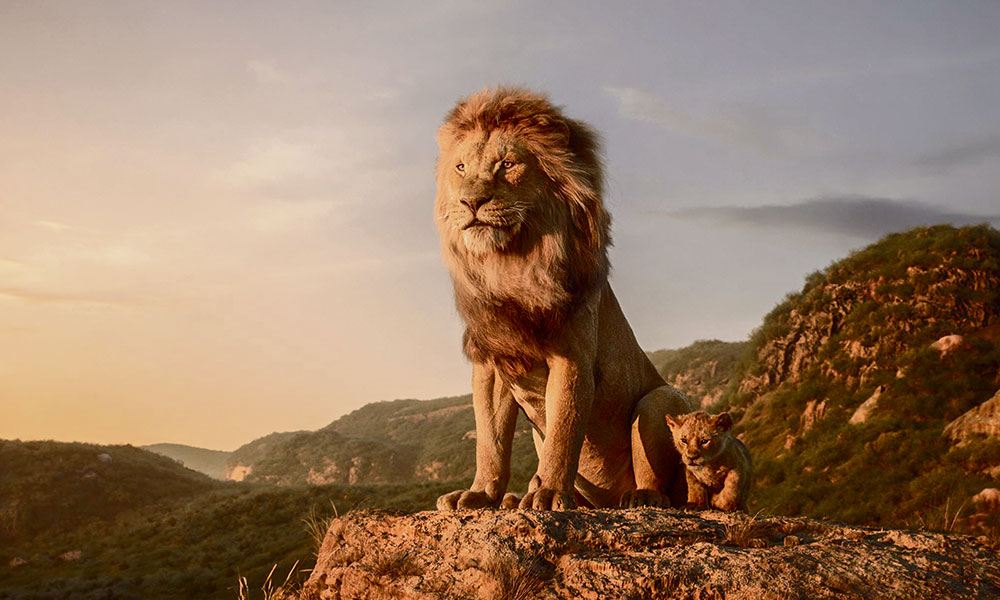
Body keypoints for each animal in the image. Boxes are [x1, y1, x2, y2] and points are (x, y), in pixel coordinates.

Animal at [433, 87, 692, 511]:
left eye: (507, 164)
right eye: (460, 168)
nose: (471, 202)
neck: (511, 264)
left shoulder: (572, 357)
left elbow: (564, 430)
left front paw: (551, 493)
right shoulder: (491, 363)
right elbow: (490, 440)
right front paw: (480, 494)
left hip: (661, 399)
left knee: (661, 481)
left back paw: (640, 497)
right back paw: (515, 498)